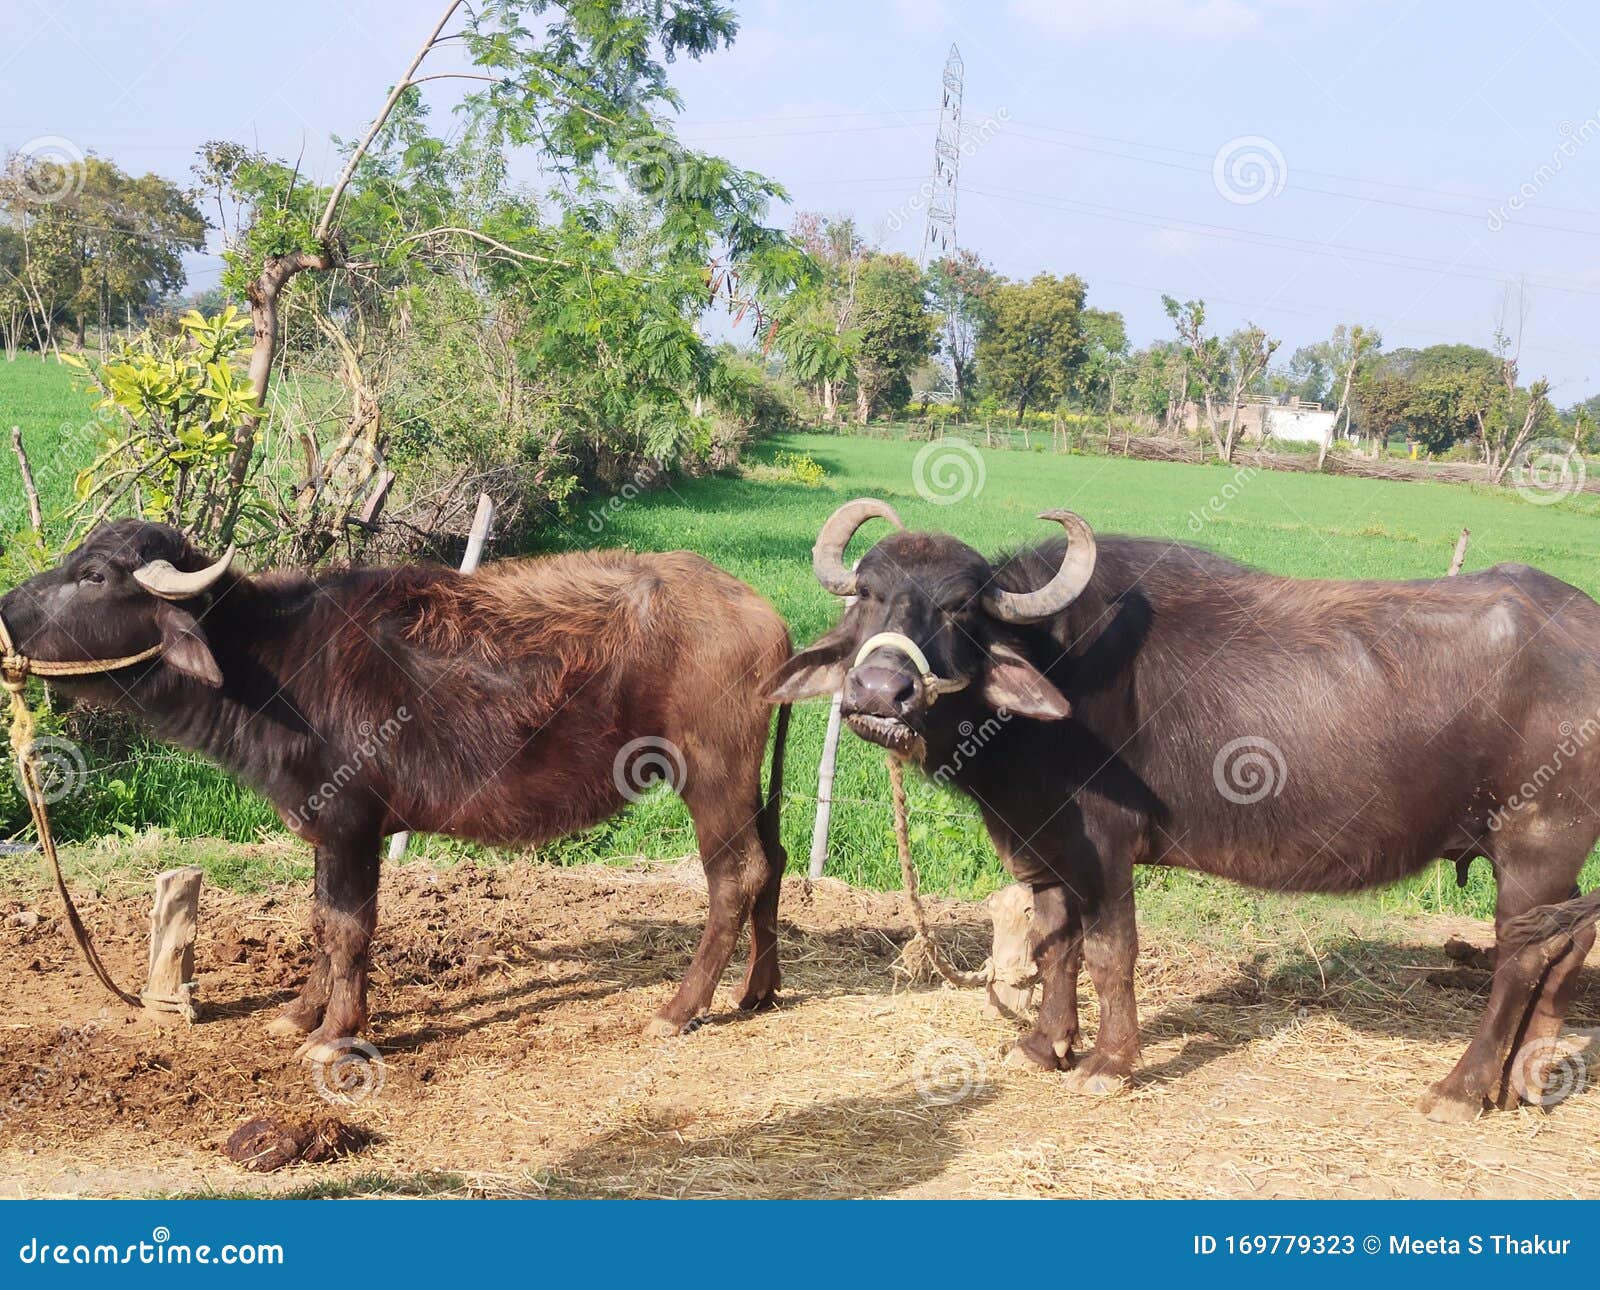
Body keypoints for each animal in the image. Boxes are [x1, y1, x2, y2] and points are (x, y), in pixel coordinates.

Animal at [0, 520, 791, 1057]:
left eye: (94, 575)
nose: (4, 613)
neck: (278, 666)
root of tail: (766, 618)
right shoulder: (325, 827)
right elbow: (321, 919)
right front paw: (301, 1011)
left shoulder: (353, 822)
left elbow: (350, 927)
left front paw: (336, 1033)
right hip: (747, 784)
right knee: (774, 864)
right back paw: (757, 989)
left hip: (711, 776)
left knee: (736, 877)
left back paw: (679, 1009)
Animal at [767, 497, 1600, 1121]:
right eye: (870, 594)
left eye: (959, 609)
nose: (881, 693)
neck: (1057, 669)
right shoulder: (1044, 845)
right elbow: (1053, 944)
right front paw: (1045, 1045)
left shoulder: (1104, 848)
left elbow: (1110, 952)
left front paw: (1108, 1063)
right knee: (1570, 943)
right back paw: (1529, 1078)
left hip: (1536, 846)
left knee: (1522, 957)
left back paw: (1460, 1089)